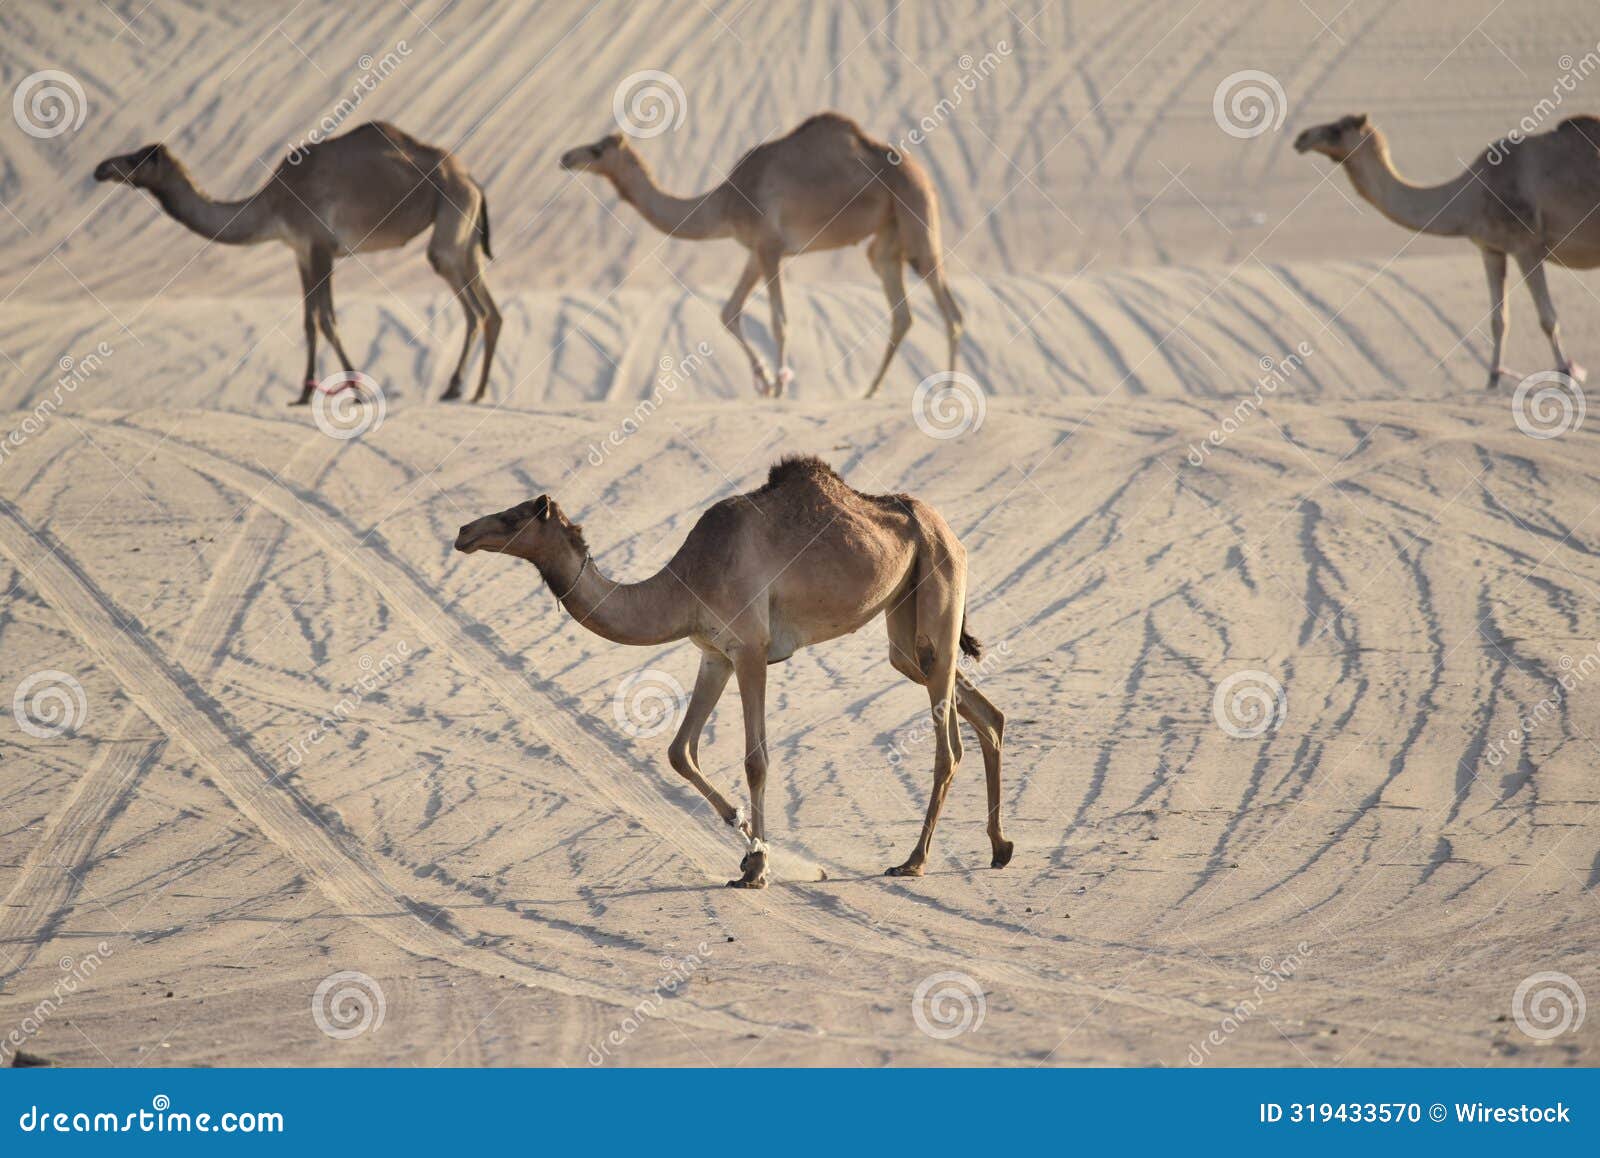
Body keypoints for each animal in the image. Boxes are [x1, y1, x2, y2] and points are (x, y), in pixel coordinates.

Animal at [94, 121, 500, 405]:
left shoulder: (321, 245)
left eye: (137, 158)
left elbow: (328, 320)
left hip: (452, 214)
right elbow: (309, 321)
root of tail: (471, 178)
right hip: (463, 226)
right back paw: (468, 389)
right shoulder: (300, 252)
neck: (271, 203)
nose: (101, 168)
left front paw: (356, 391)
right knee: (485, 311)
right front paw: (304, 394)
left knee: (467, 295)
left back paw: (467, 389)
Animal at [453, 455, 1012, 888]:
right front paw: (745, 841)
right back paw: (999, 846)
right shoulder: (714, 653)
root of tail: (948, 530)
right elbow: (679, 751)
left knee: (948, 742)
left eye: (514, 517)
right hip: (905, 621)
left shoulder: (750, 650)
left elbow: (755, 760)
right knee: (979, 707)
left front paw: (758, 865)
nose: (463, 531)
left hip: (939, 579)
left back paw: (914, 861)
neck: (684, 582)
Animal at [559, 112, 962, 399]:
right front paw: (764, 380)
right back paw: (870, 391)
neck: (723, 203)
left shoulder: (770, 247)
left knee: (948, 305)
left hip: (916, 210)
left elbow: (777, 321)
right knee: (900, 310)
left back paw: (947, 390)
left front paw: (780, 384)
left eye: (597, 150)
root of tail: (922, 172)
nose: (566, 156)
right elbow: (728, 313)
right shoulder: (754, 250)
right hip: (887, 236)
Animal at [1295, 113, 1600, 389]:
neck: (1470, 195)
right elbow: (1499, 320)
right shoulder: (1491, 248)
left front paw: (1566, 373)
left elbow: (1548, 318)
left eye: (1336, 129)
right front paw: (1492, 379)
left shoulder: (1527, 245)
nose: (1302, 137)